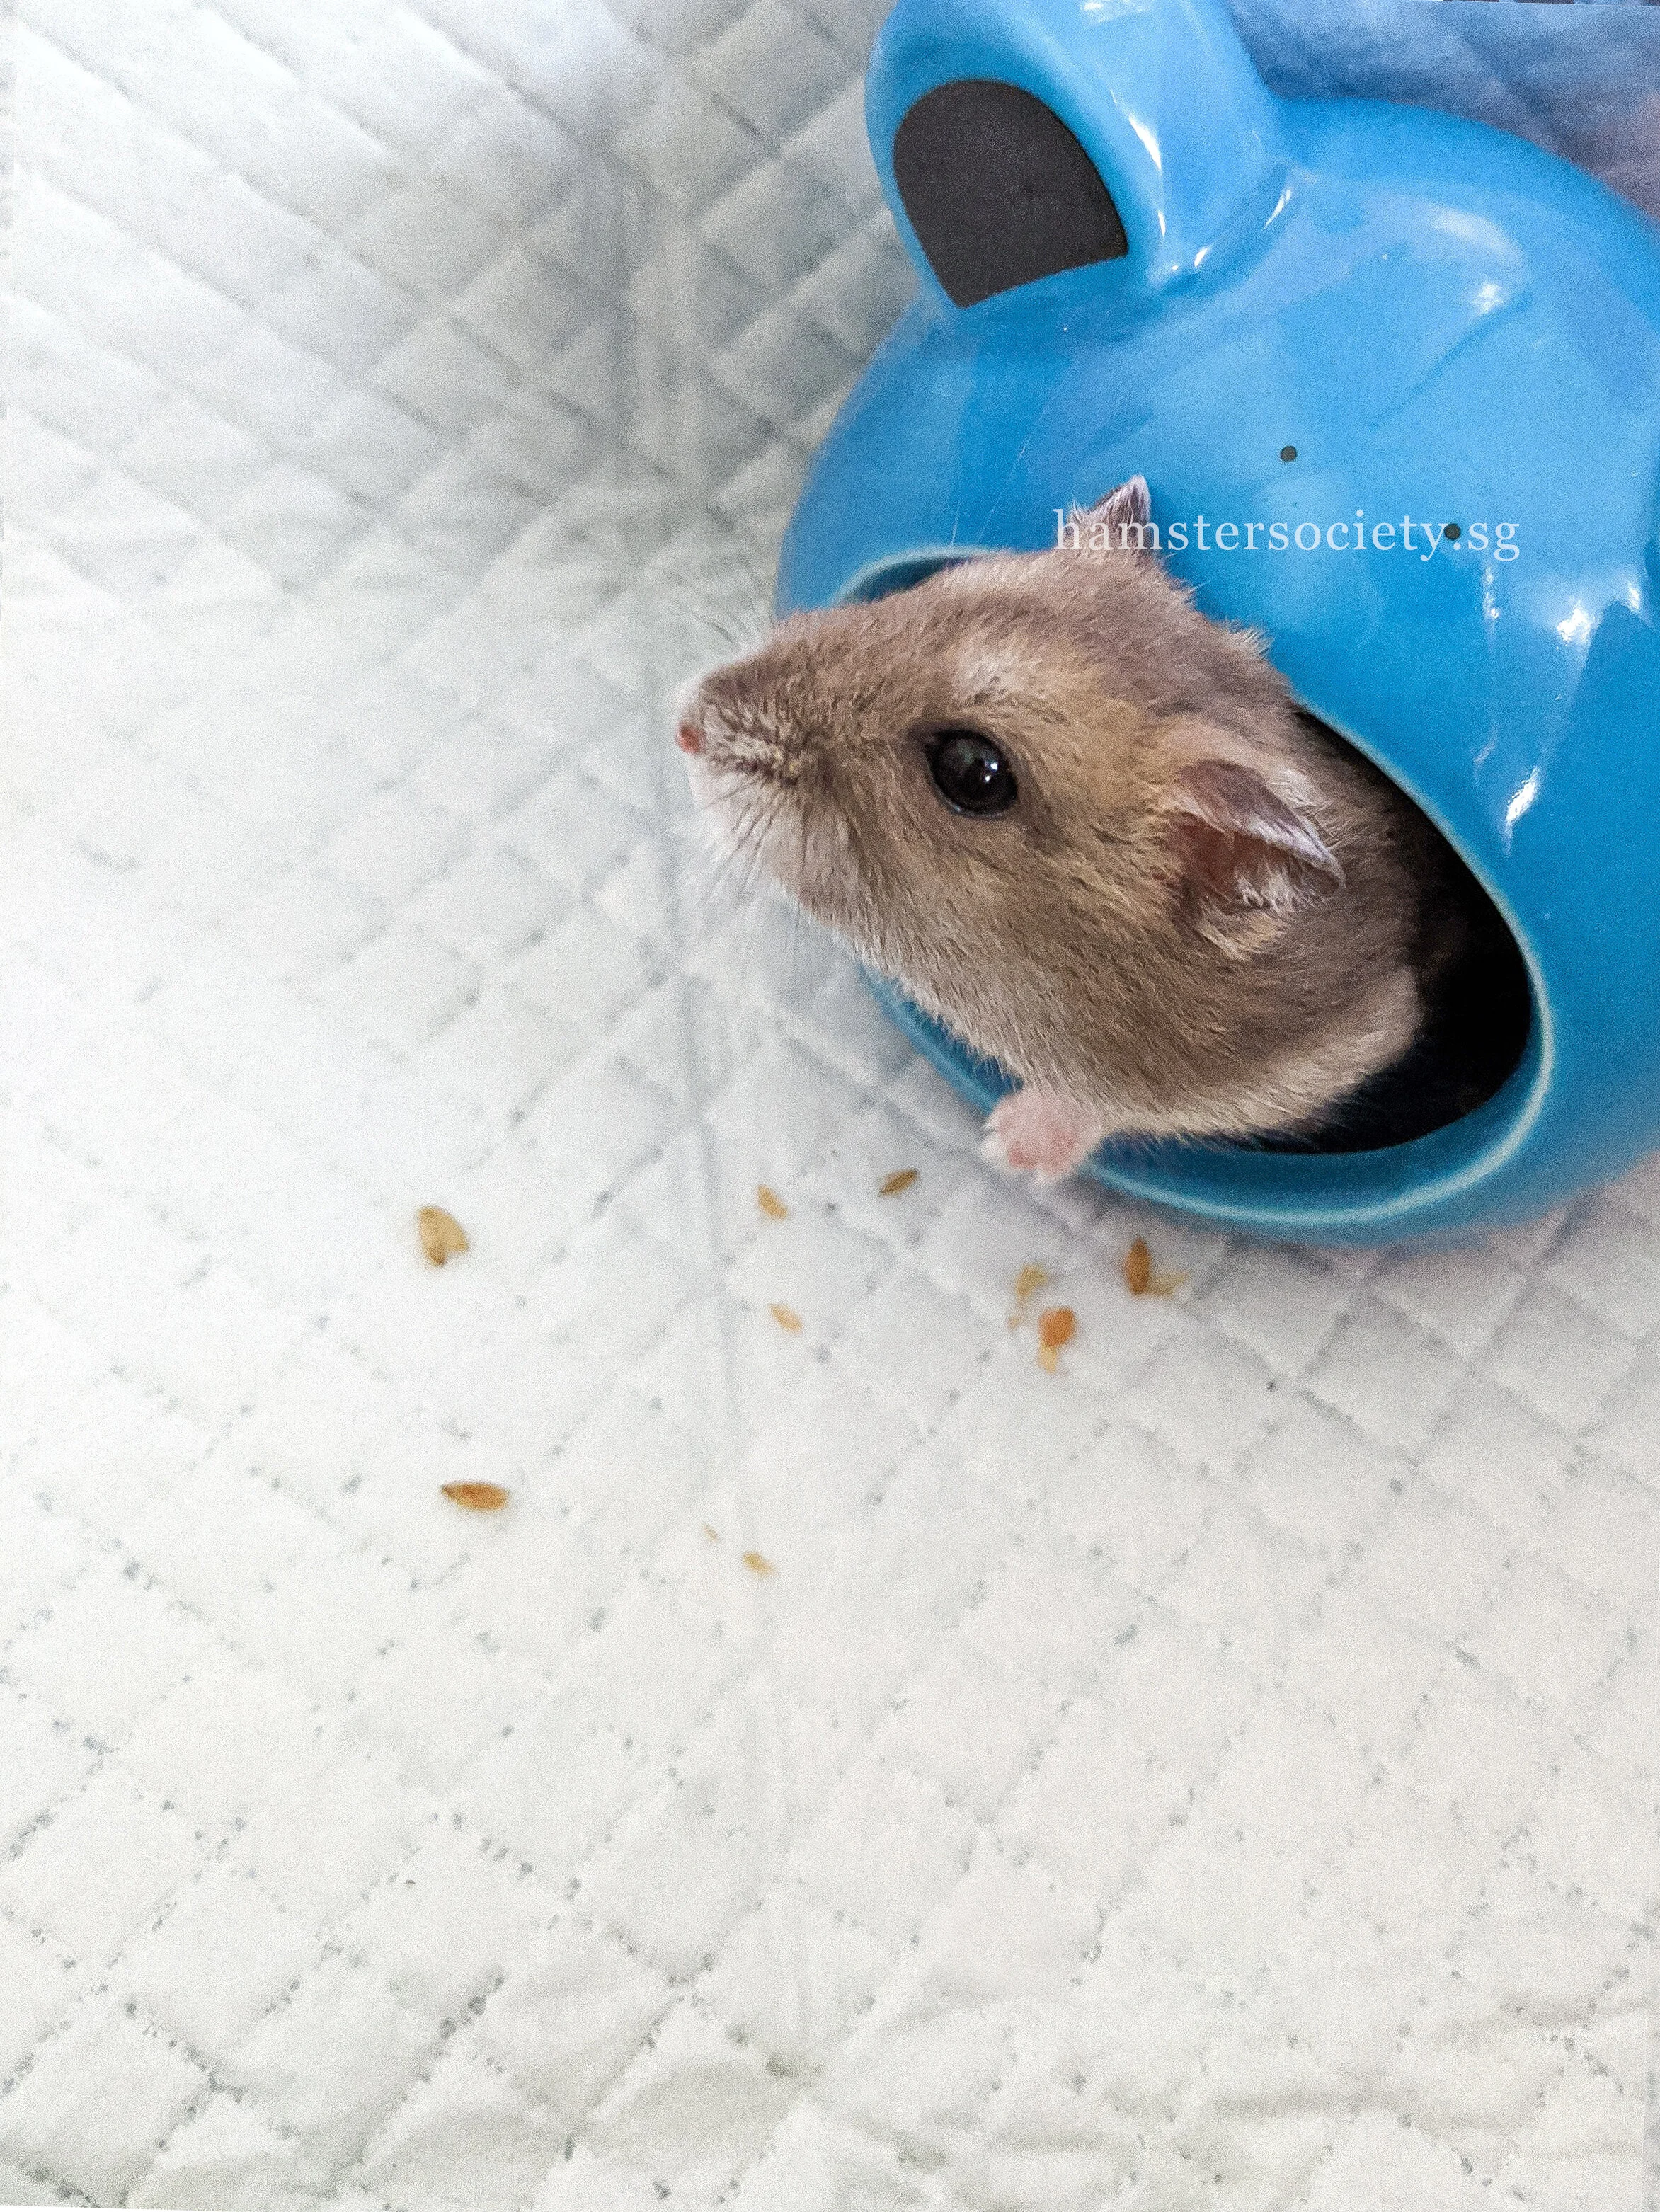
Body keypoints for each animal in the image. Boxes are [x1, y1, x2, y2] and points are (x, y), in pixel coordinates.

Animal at [674, 477, 1516, 1178]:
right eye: (918, 592)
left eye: (972, 771)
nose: (684, 726)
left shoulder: (1339, 1046)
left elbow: (1121, 1106)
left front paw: (1006, 1145)